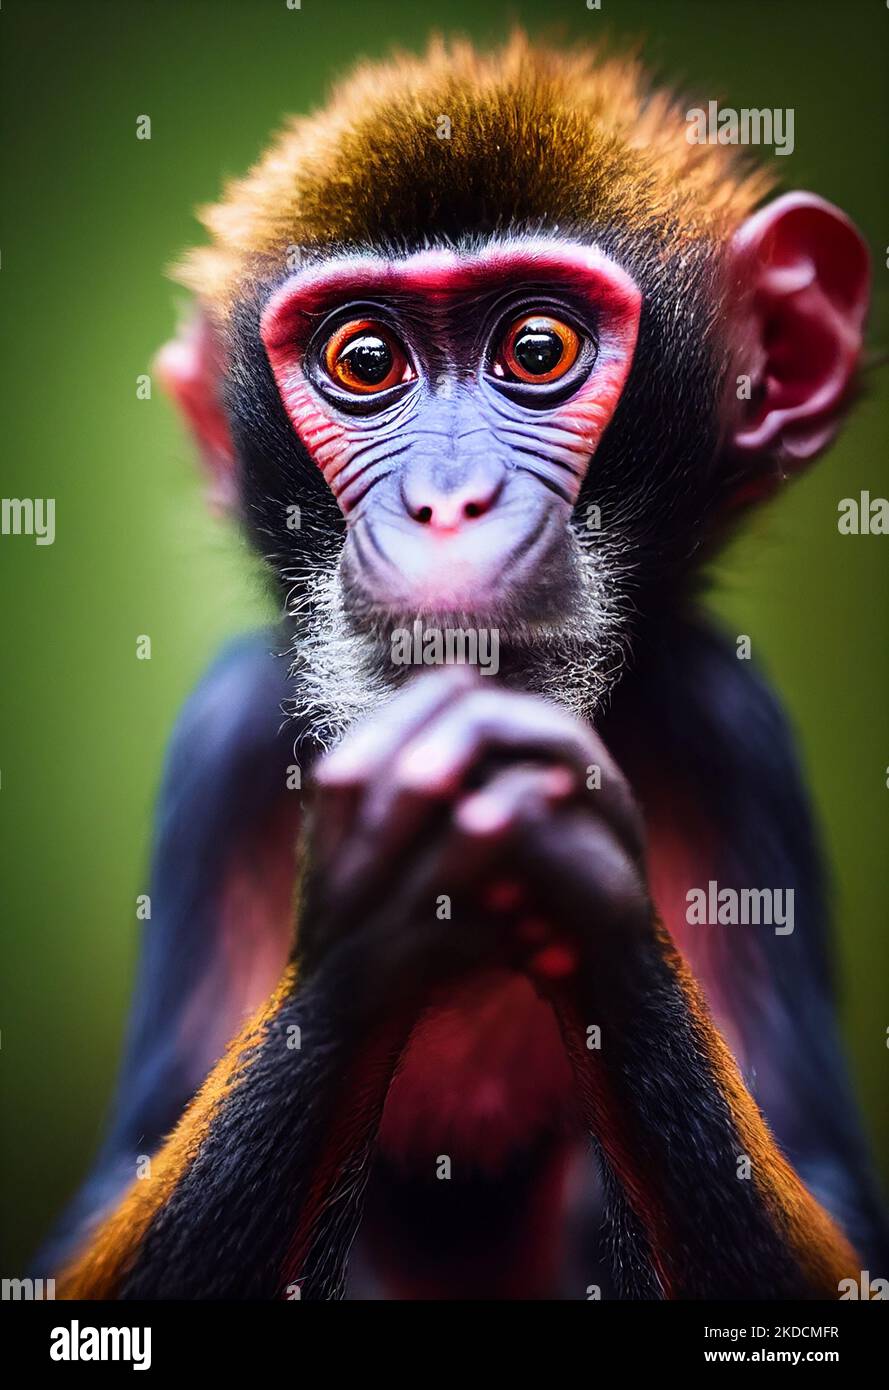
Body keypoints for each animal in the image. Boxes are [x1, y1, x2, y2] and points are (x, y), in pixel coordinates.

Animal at [39, 34, 887, 1300]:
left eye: (536, 350)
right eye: (365, 360)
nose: (448, 502)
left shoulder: (735, 735)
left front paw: (587, 889)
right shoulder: (226, 739)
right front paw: (367, 905)